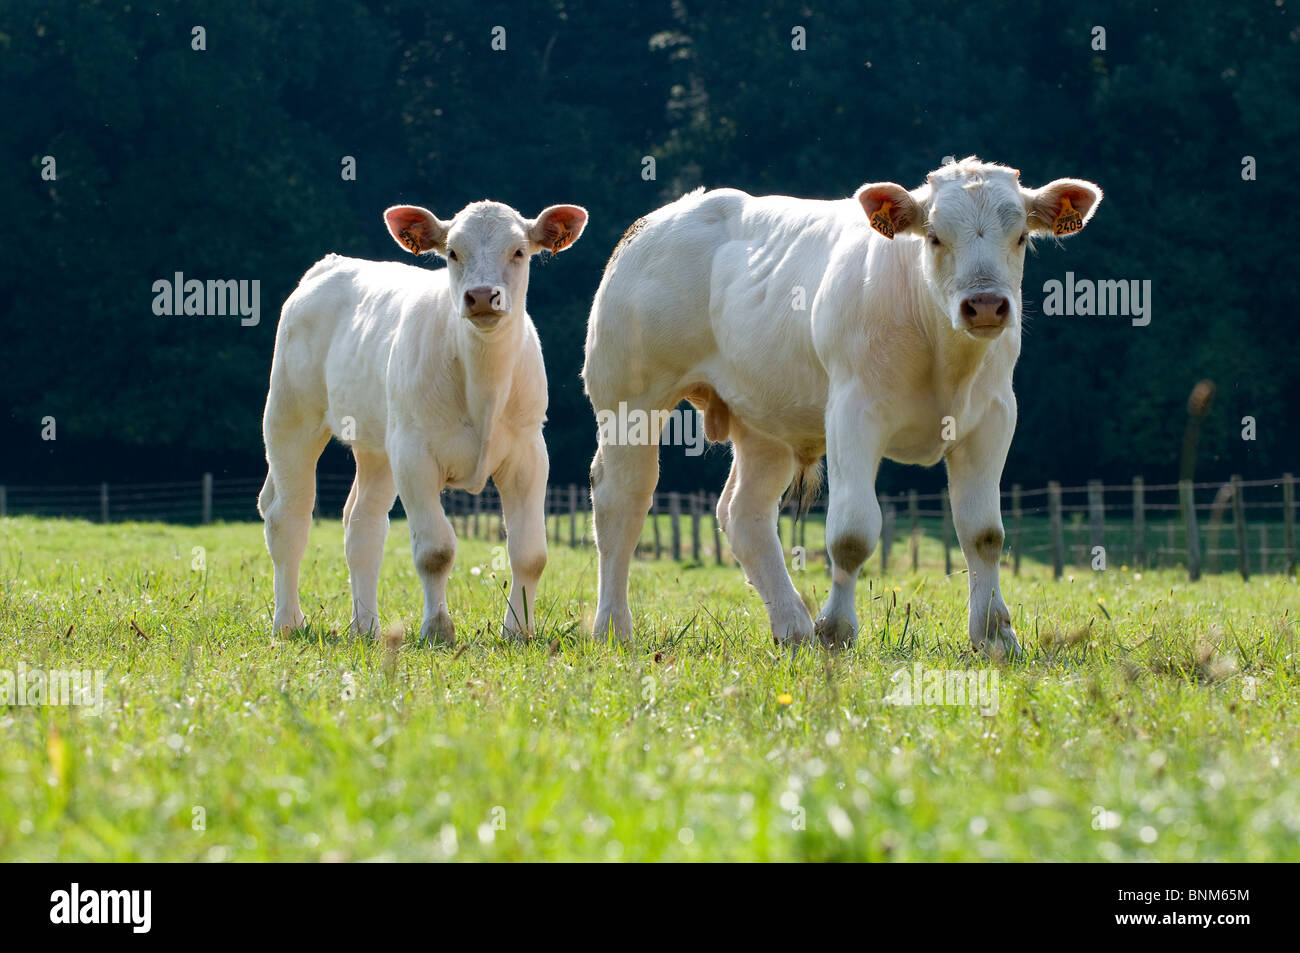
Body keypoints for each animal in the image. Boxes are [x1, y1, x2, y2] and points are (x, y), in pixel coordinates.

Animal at [259, 199, 588, 645]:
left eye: (519, 251)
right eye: (452, 252)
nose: (481, 296)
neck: (481, 384)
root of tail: (330, 264)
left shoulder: (529, 455)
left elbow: (530, 553)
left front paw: (518, 631)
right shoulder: (414, 455)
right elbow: (436, 551)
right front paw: (437, 629)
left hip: (379, 445)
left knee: (362, 525)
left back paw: (365, 626)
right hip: (291, 416)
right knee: (288, 517)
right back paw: (288, 622)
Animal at [583, 157, 1101, 656]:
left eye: (1021, 237)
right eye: (935, 236)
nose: (987, 305)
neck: (942, 354)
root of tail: (658, 220)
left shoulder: (992, 419)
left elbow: (984, 534)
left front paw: (994, 635)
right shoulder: (854, 414)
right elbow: (851, 534)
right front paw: (836, 631)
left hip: (764, 420)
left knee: (744, 513)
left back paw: (793, 627)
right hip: (629, 401)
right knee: (621, 501)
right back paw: (613, 629)